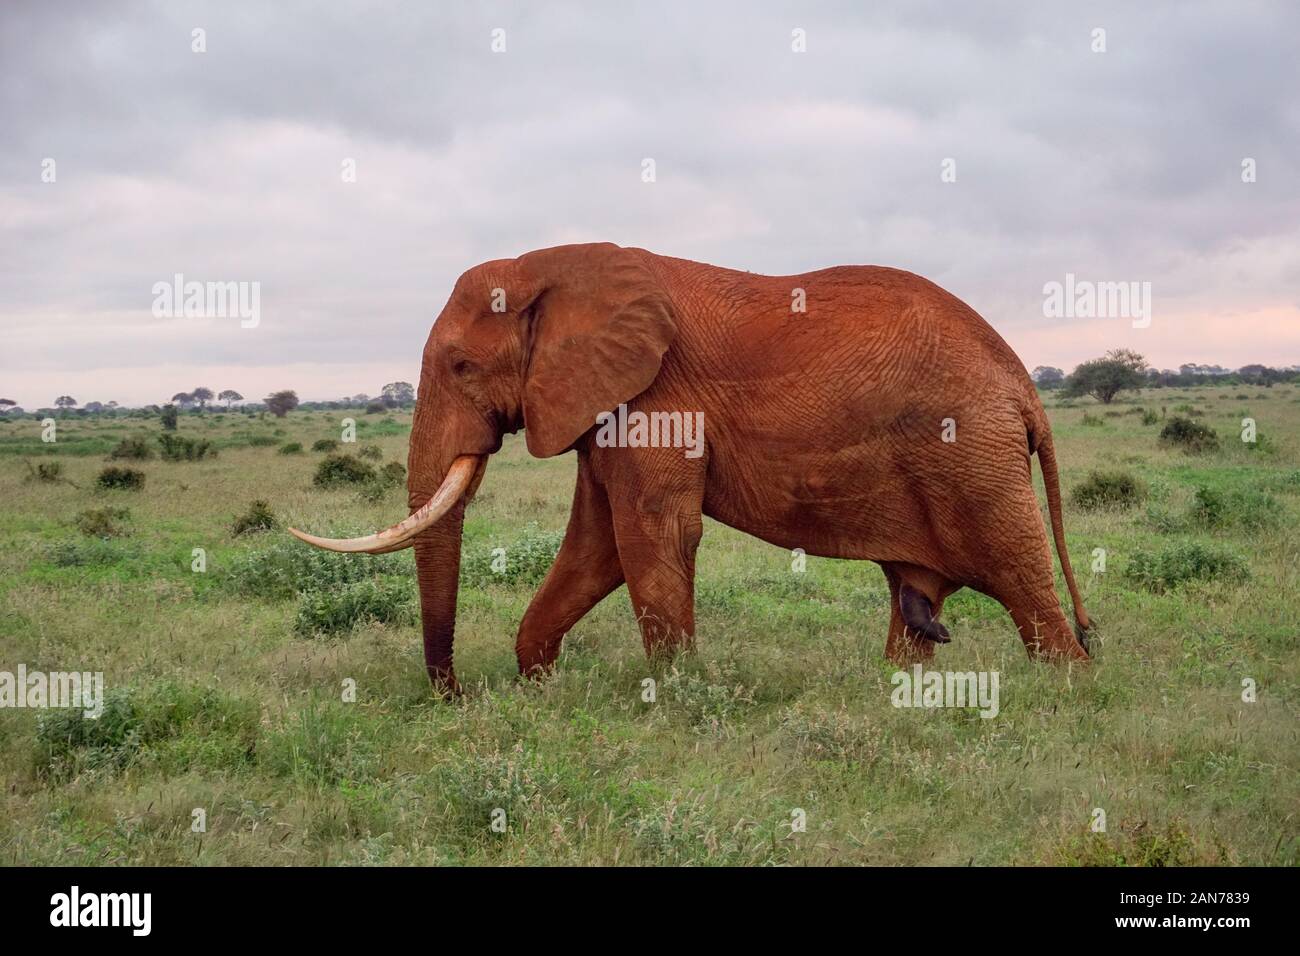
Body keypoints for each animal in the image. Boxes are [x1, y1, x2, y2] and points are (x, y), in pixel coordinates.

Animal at [291, 242, 1091, 693]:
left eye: (460, 366)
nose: (453, 696)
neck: (548, 268)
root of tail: (1024, 386)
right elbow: (596, 549)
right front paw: (540, 686)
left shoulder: (656, 399)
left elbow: (650, 539)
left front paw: (676, 697)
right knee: (917, 599)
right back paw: (901, 696)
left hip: (972, 456)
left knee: (1019, 576)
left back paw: (1066, 697)